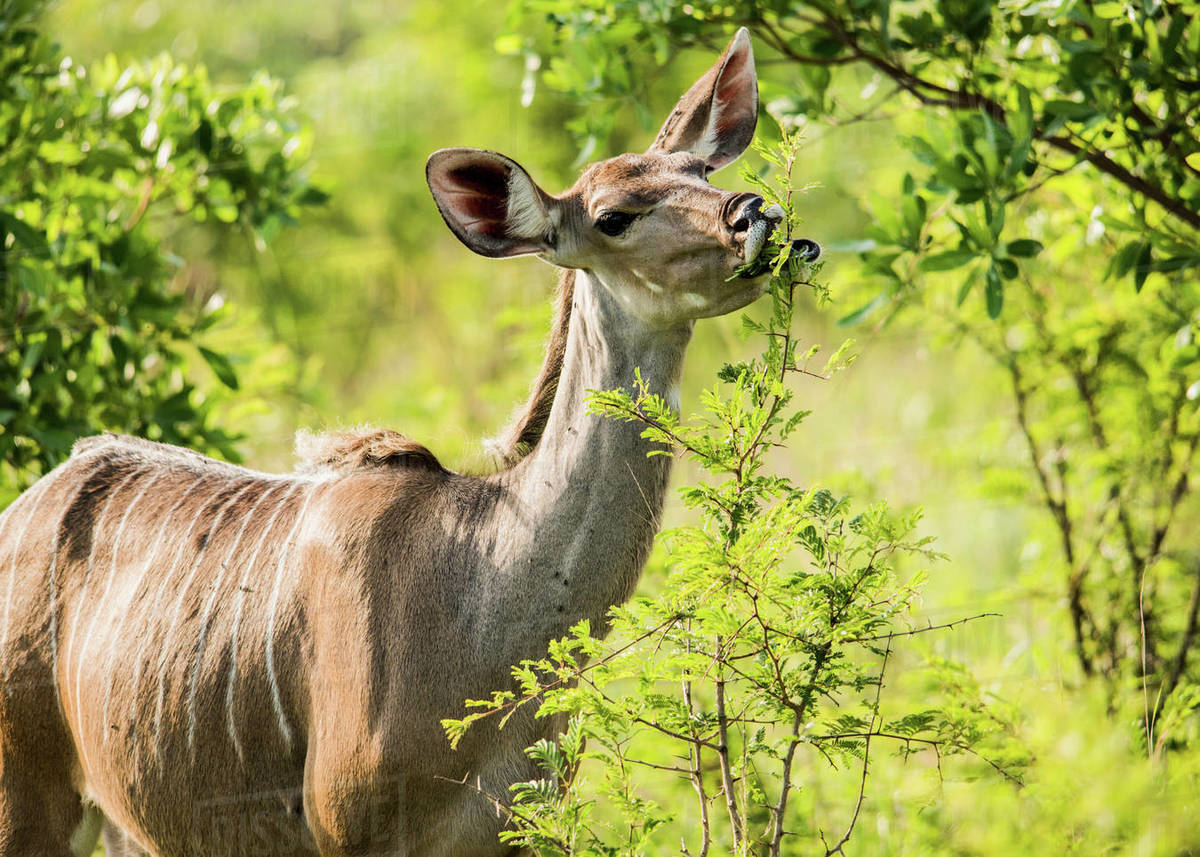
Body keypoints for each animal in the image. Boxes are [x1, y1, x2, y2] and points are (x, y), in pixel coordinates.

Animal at [0, 28, 818, 857]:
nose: (758, 214)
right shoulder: (349, 828)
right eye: (615, 214)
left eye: (702, 172)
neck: (483, 596)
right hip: (27, 796)